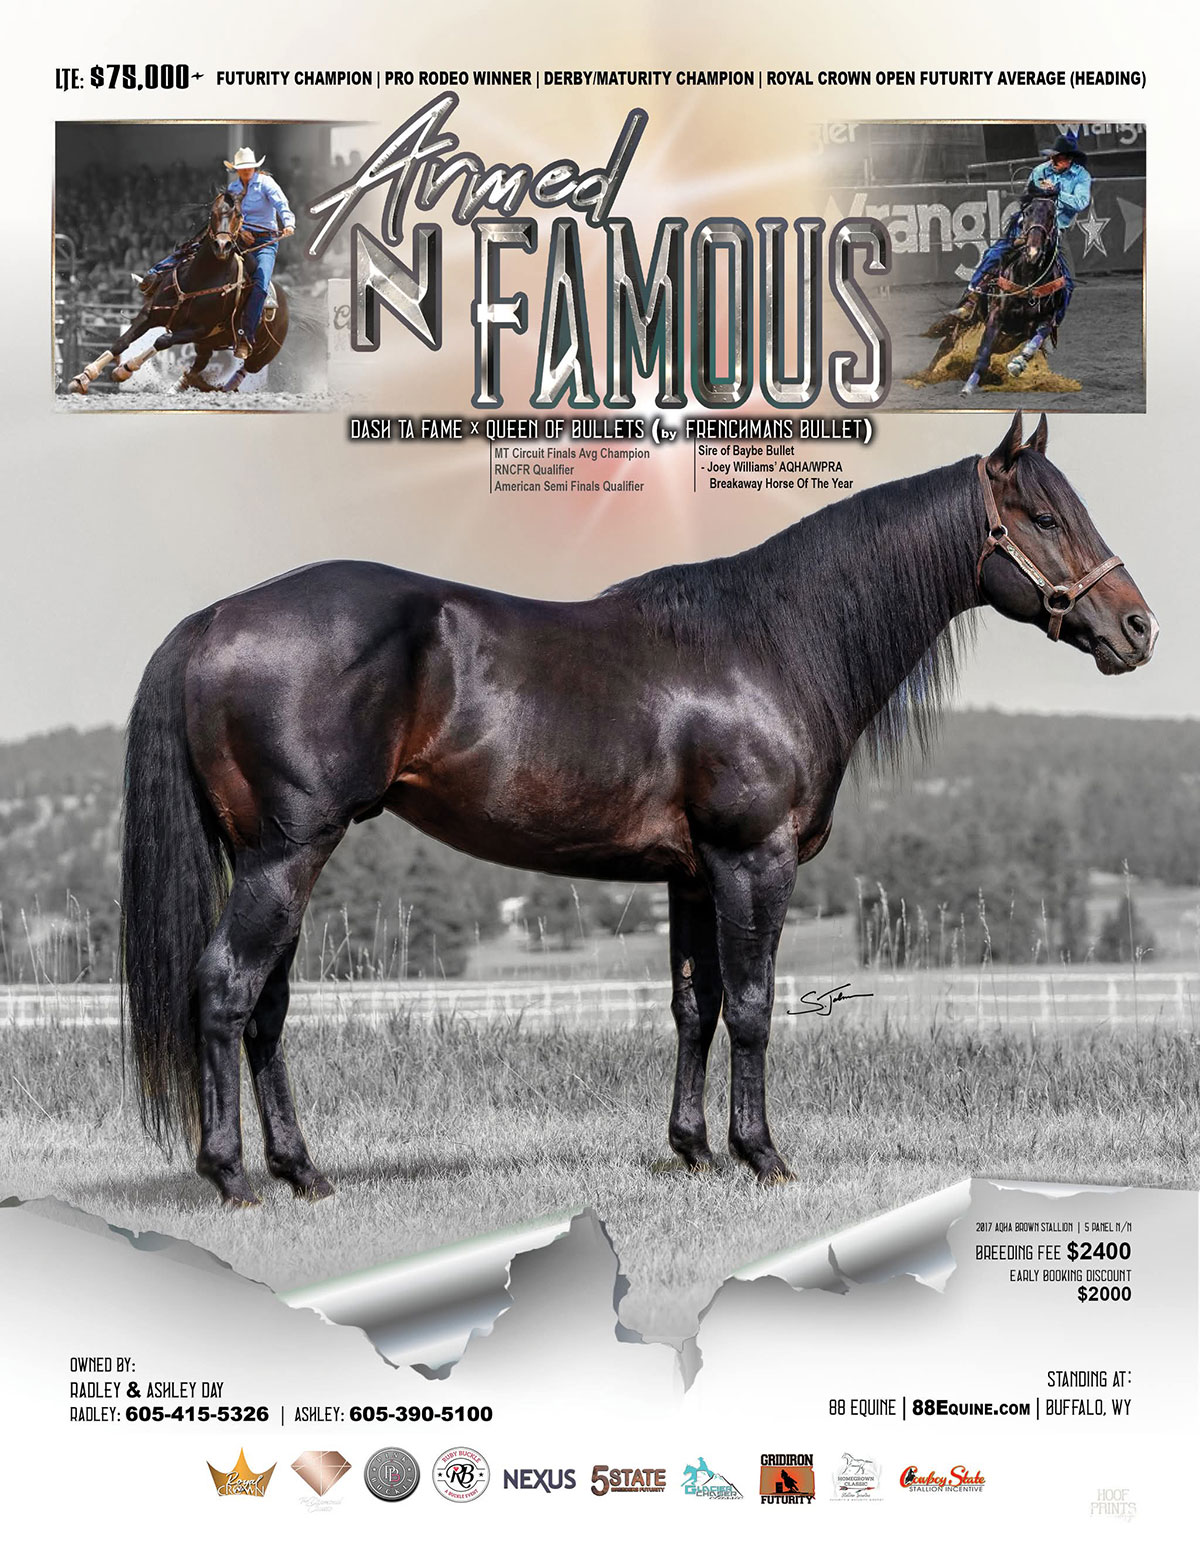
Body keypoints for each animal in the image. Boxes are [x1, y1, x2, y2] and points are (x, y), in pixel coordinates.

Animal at [67, 190, 290, 397]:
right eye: (213, 213)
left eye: (239, 215)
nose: (222, 245)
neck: (198, 279)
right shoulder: (150, 313)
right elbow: (122, 341)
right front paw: (84, 377)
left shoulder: (198, 329)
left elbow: (162, 340)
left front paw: (125, 369)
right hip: (206, 344)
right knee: (198, 366)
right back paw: (178, 388)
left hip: (262, 354)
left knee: (243, 368)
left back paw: (224, 387)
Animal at [119, 412, 1157, 1207]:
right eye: (1040, 514)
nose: (1138, 627)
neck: (773, 642)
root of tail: (213, 621)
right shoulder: (752, 859)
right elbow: (752, 1005)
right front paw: (762, 1155)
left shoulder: (692, 876)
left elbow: (694, 1006)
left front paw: (692, 1149)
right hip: (285, 853)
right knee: (226, 988)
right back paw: (233, 1177)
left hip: (280, 856)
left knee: (267, 1005)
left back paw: (303, 1173)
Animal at [927, 192, 1069, 397]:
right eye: (1027, 212)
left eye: (1052, 215)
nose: (1033, 251)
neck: (1029, 279)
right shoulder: (996, 316)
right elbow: (983, 352)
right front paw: (968, 387)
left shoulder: (1047, 318)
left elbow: (1036, 340)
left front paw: (1019, 363)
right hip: (969, 321)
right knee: (946, 345)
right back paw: (925, 375)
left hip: (1008, 339)